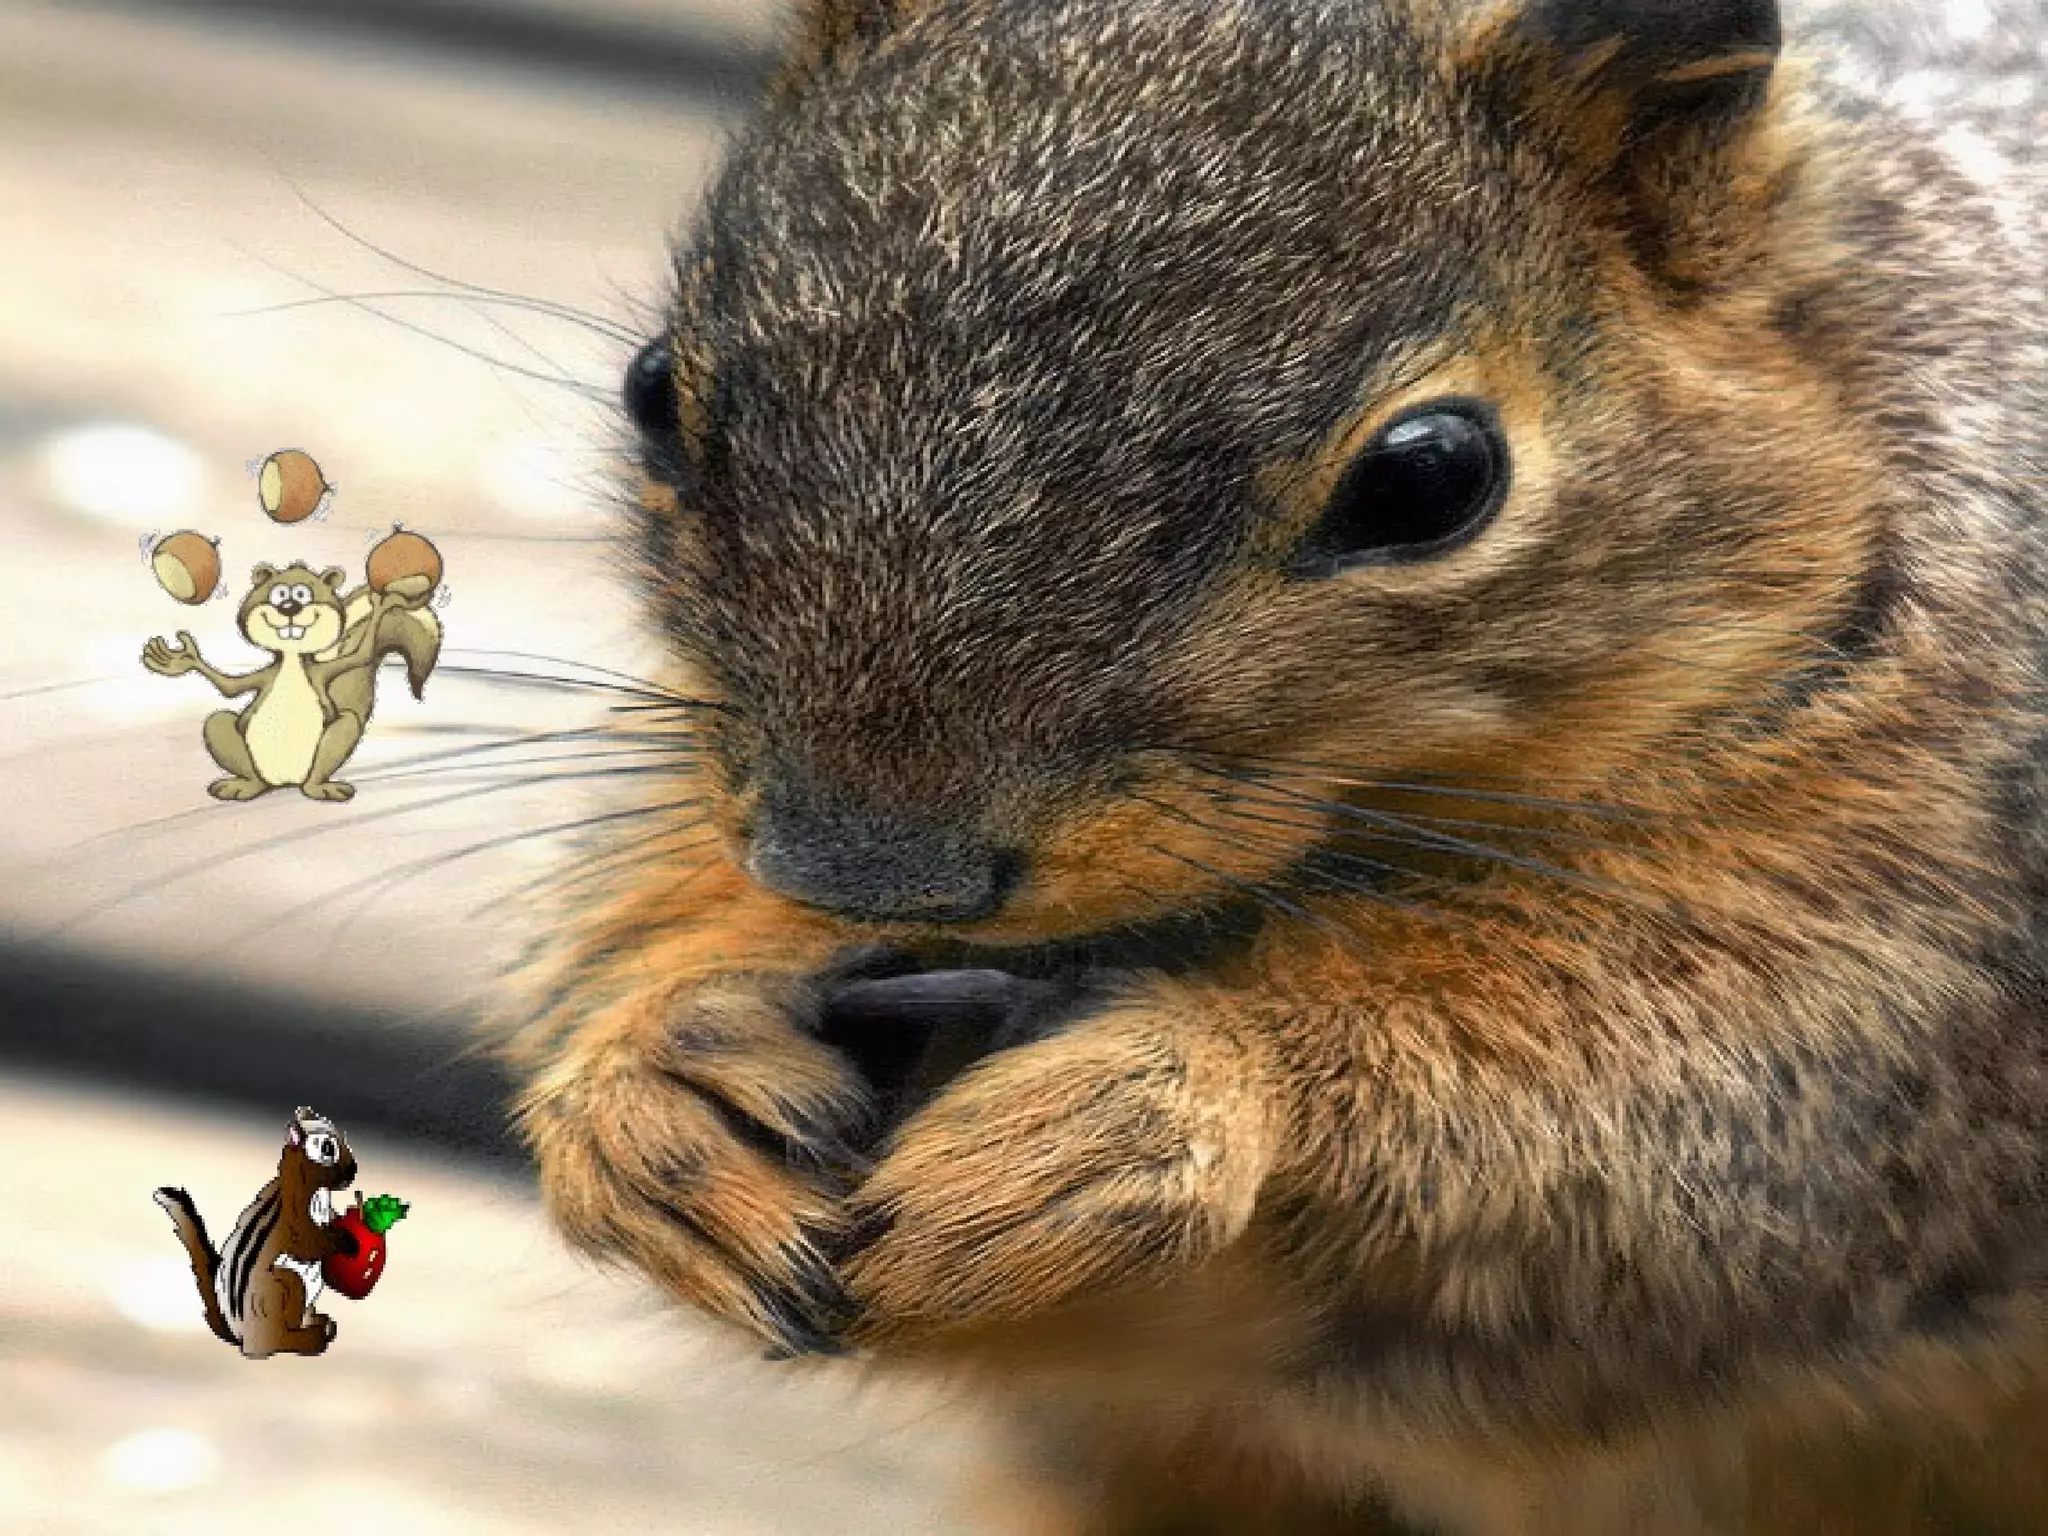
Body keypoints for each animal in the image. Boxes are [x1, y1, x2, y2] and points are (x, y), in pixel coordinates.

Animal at [142, 561, 441, 802]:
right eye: (279, 594)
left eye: (302, 594)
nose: (290, 607)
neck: (291, 659)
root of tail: (285, 782)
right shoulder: (266, 676)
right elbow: (230, 689)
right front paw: (185, 660)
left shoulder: (323, 672)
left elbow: (362, 654)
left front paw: (381, 605)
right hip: (242, 750)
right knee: (218, 722)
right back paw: (244, 786)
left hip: (331, 742)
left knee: (343, 727)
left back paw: (320, 788)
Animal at [153, 1107, 362, 1360]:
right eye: (327, 1148)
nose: (354, 1170)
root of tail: (240, 1335)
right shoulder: (294, 1220)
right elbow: (307, 1242)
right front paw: (345, 1240)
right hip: (284, 1286)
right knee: (275, 1340)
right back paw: (309, 1339)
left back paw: (321, 1324)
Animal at [511, 0, 2046, 1531]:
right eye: (654, 390)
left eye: (1431, 479)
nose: (866, 872)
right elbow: (636, 912)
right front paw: (654, 1084)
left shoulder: (1916, 943)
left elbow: (1660, 1132)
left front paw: (1164, 1093)